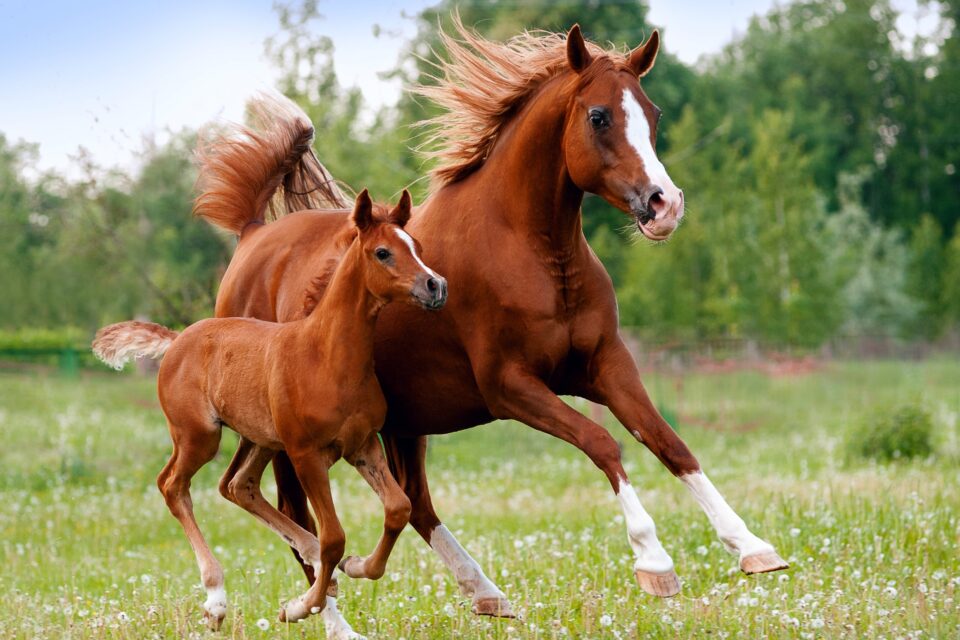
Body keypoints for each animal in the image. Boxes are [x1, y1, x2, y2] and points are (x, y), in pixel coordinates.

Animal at [93, 189, 446, 638]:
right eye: (382, 252)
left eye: (416, 246)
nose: (436, 285)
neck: (327, 355)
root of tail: (177, 339)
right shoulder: (306, 454)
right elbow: (334, 536)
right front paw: (299, 606)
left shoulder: (362, 446)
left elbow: (397, 509)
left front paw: (356, 567)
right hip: (200, 436)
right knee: (172, 485)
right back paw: (216, 600)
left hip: (260, 439)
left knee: (238, 485)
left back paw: (312, 561)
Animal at [197, 22, 788, 618]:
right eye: (599, 116)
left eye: (655, 113)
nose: (665, 205)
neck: (534, 253)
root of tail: (252, 236)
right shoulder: (510, 386)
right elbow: (603, 443)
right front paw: (654, 562)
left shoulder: (606, 366)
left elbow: (670, 443)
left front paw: (753, 547)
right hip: (292, 438)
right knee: (300, 519)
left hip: (403, 422)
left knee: (412, 504)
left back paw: (483, 591)